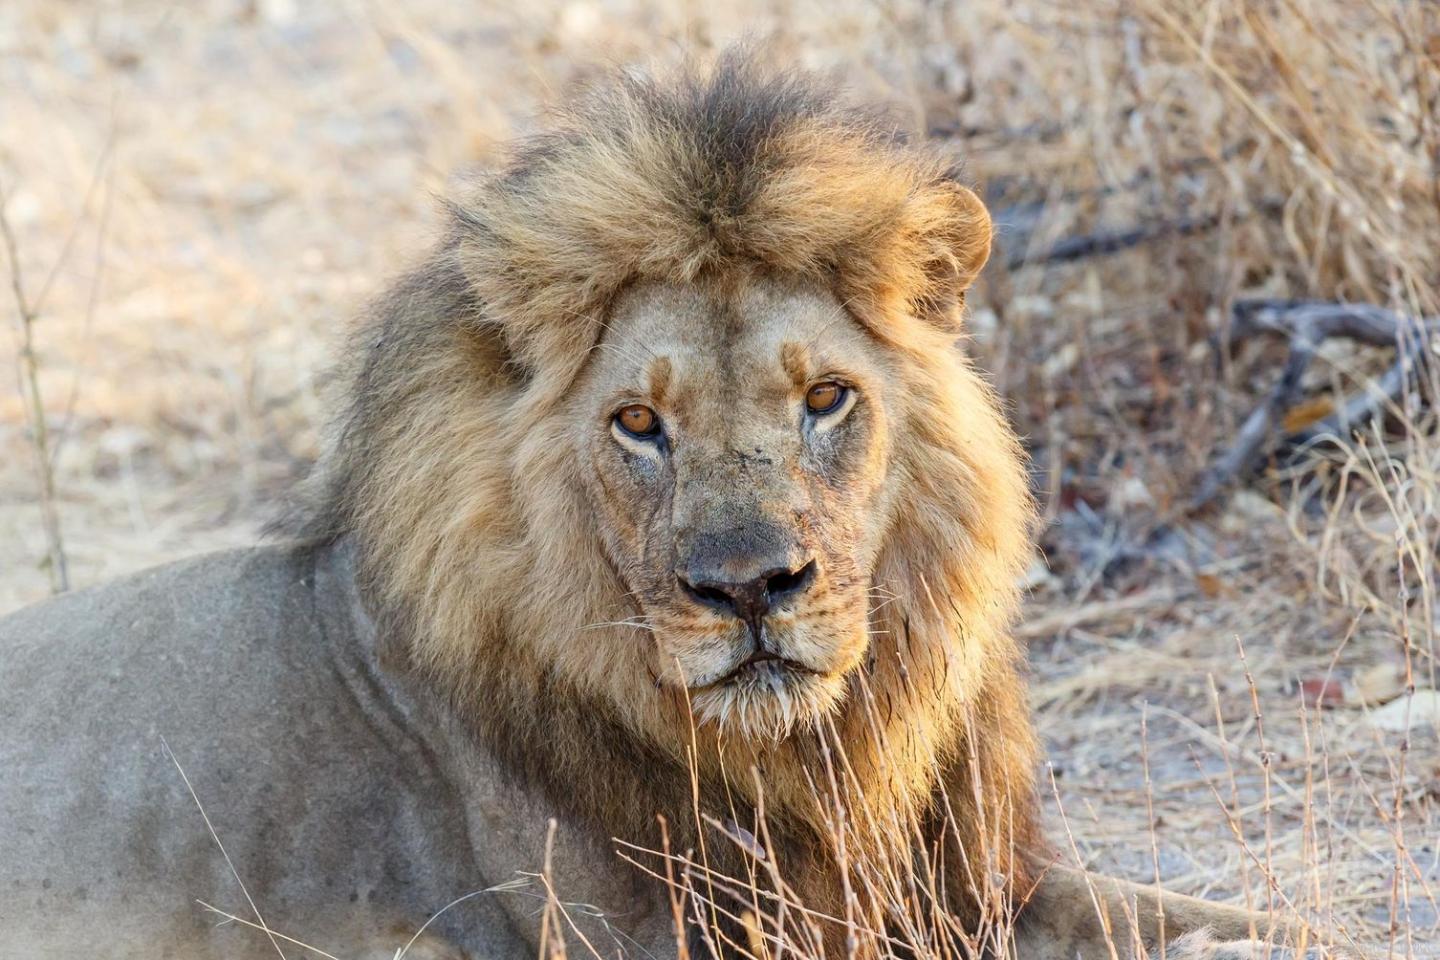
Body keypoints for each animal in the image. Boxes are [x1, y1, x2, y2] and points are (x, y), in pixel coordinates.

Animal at [0, 57, 1331, 959]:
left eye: (828, 398)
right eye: (639, 423)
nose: (750, 590)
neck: (816, 756)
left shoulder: (977, 886)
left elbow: (1245, 922)